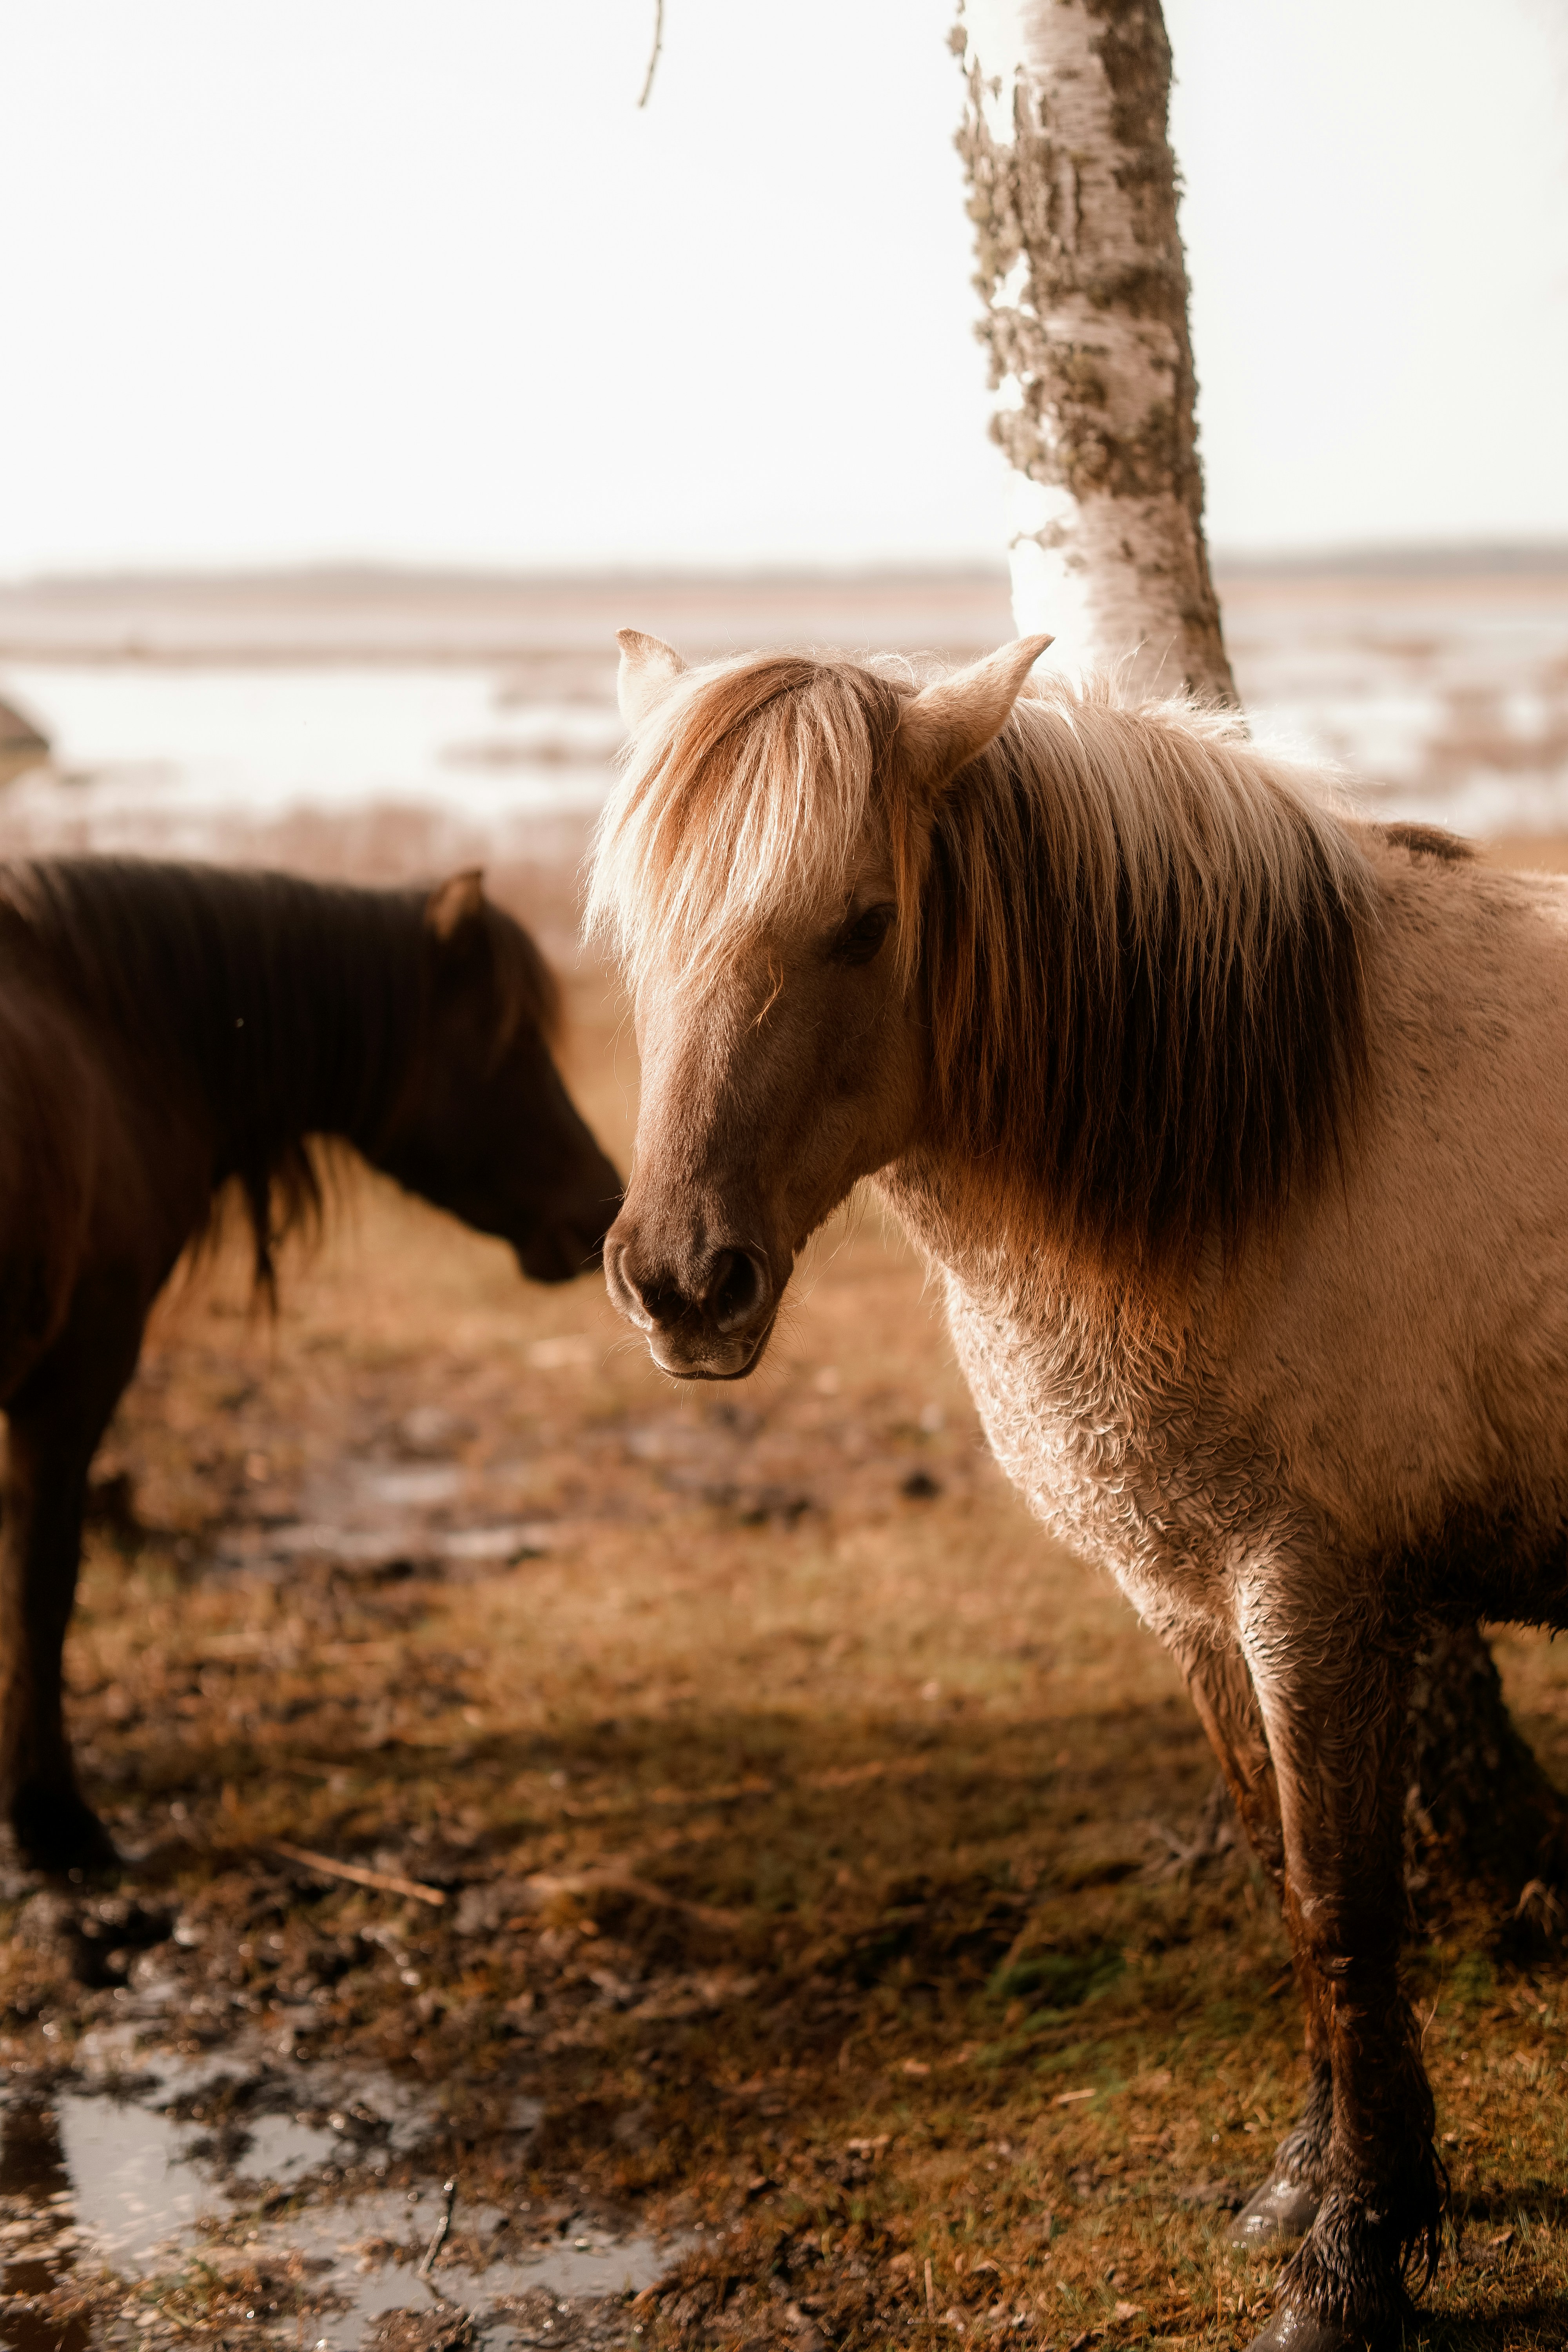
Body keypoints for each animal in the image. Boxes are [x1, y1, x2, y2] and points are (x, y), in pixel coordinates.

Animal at [0, 857, 620, 1876]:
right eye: (513, 1044)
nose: (598, 1205)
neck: (103, 1029)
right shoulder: (75, 1374)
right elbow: (42, 1586)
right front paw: (52, 1819)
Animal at [587, 624, 1568, 2352]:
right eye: (643, 933)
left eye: (864, 923)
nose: (681, 1284)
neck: (1272, 1135)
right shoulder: (1187, 1598)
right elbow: (1277, 1874)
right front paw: (1302, 2189)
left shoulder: (1309, 1594)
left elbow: (1343, 1907)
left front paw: (1354, 2258)